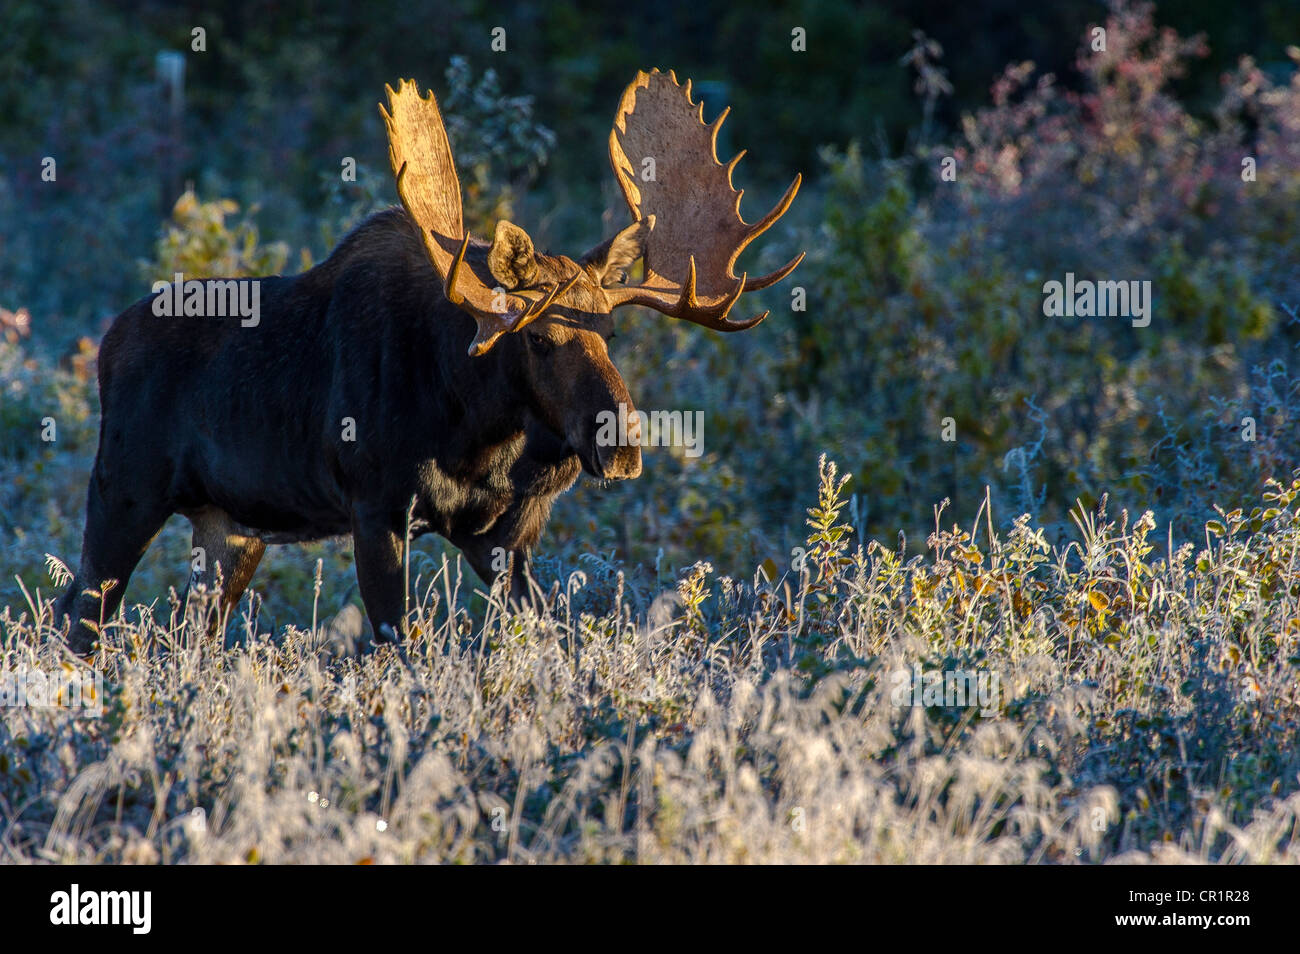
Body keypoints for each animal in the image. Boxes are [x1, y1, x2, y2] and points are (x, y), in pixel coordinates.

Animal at [53, 69, 804, 654]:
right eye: (537, 338)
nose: (618, 445)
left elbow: (547, 636)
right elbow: (396, 644)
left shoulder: (503, 534)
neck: (477, 431)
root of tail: (109, 341)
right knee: (78, 616)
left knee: (188, 629)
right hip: (124, 488)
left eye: (611, 333)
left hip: (231, 528)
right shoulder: (376, 506)